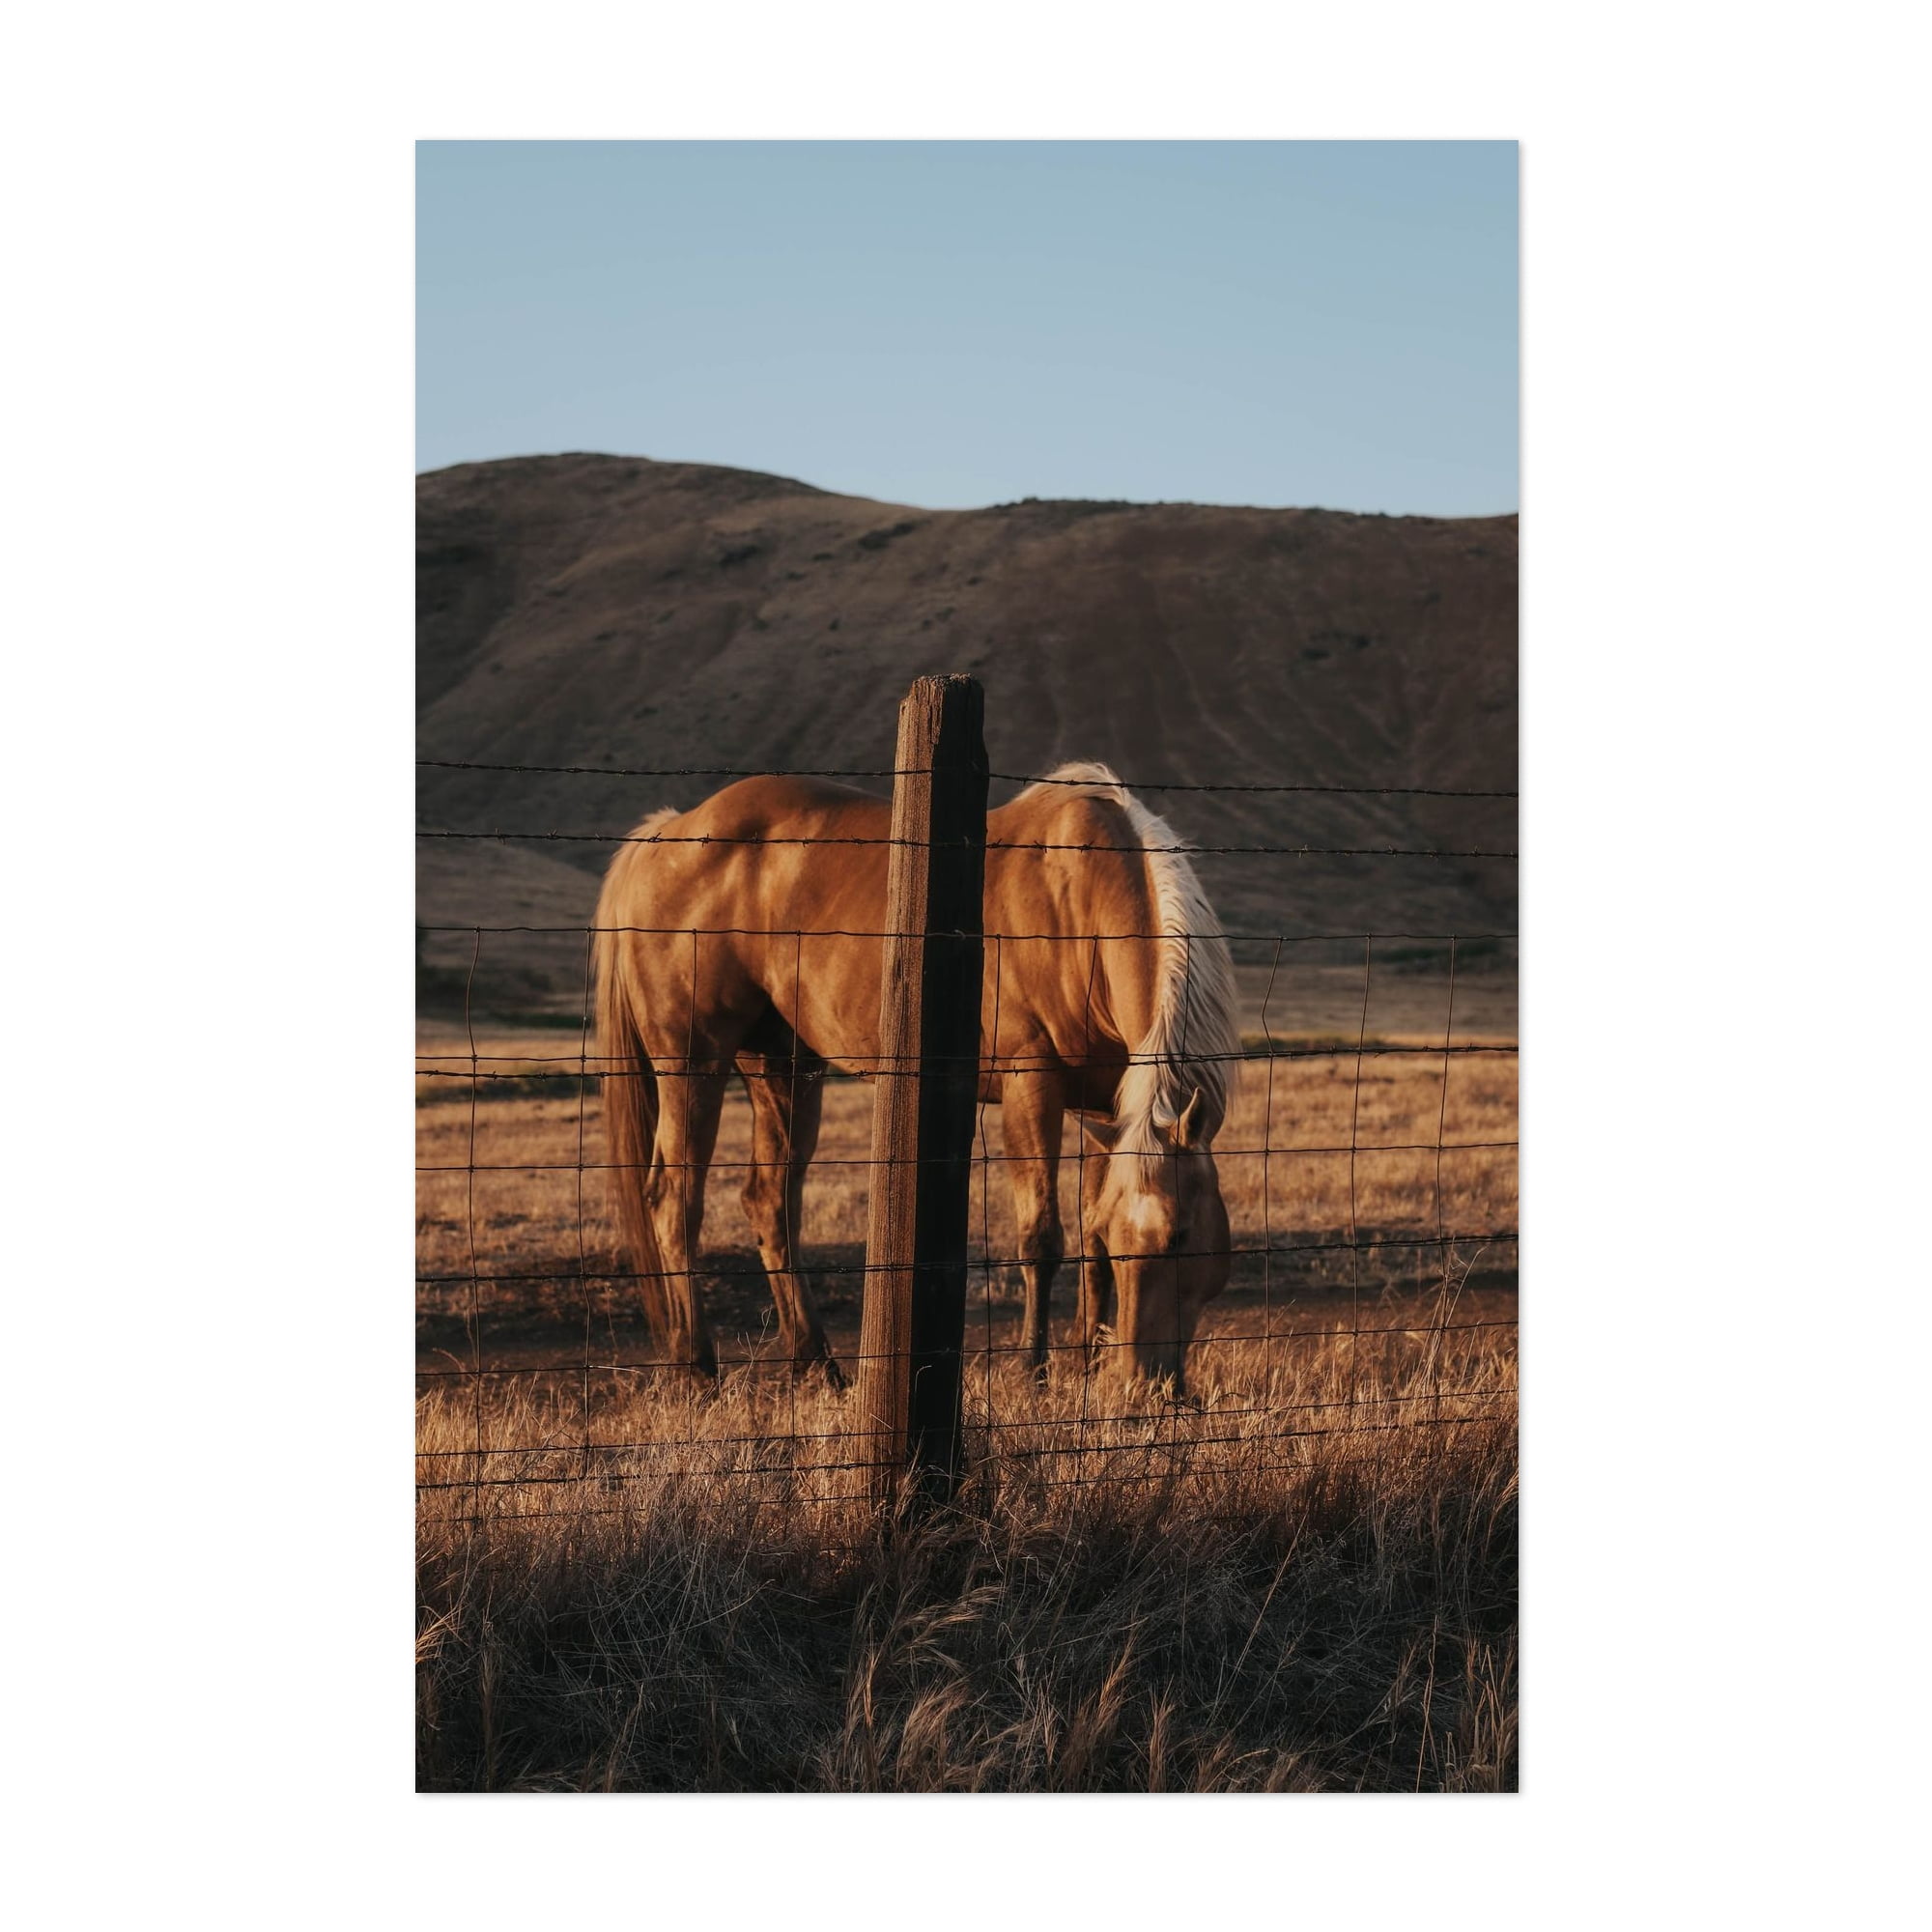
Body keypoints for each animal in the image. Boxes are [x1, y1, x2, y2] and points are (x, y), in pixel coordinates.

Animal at [592, 762, 1241, 1392]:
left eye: (1182, 1234)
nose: (1144, 1381)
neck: (1076, 902)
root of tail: (666, 833)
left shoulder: (1108, 1106)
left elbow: (1088, 1237)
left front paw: (1085, 1361)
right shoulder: (1033, 1084)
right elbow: (1041, 1238)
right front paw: (1034, 1373)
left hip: (781, 1066)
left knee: (769, 1202)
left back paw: (818, 1367)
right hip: (693, 1064)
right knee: (676, 1203)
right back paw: (699, 1370)